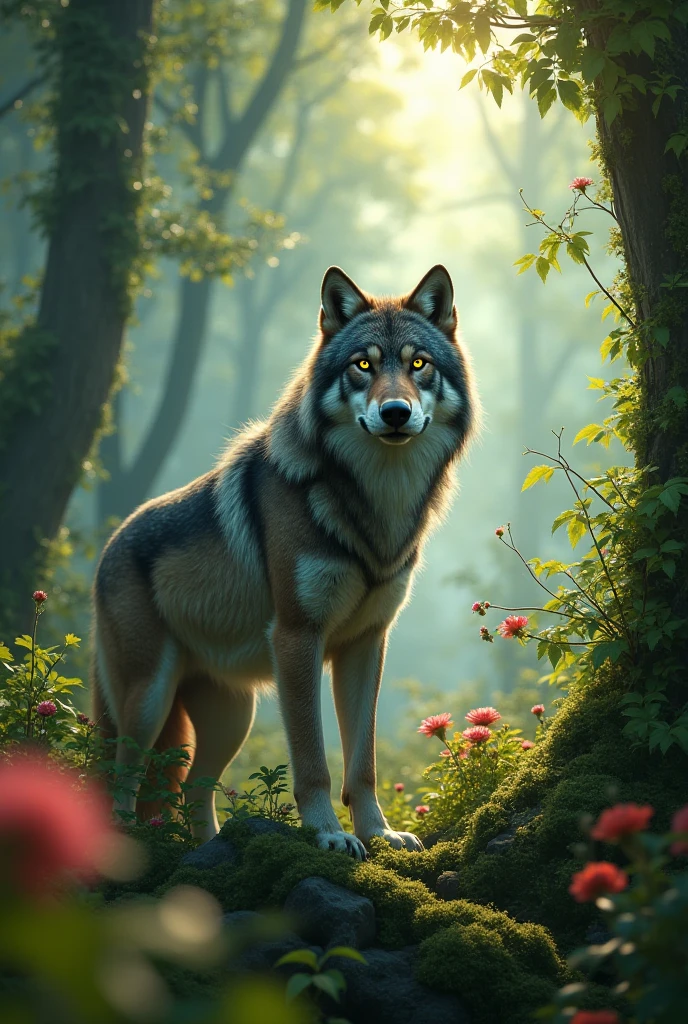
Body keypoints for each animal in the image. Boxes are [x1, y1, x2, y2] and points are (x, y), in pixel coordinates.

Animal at [92, 264, 477, 858]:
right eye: (362, 365)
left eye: (419, 364)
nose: (395, 412)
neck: (373, 503)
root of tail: (109, 545)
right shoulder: (298, 637)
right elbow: (313, 760)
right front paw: (329, 835)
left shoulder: (367, 645)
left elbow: (362, 763)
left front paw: (379, 834)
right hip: (148, 702)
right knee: (124, 780)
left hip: (233, 718)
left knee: (192, 791)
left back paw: (209, 850)